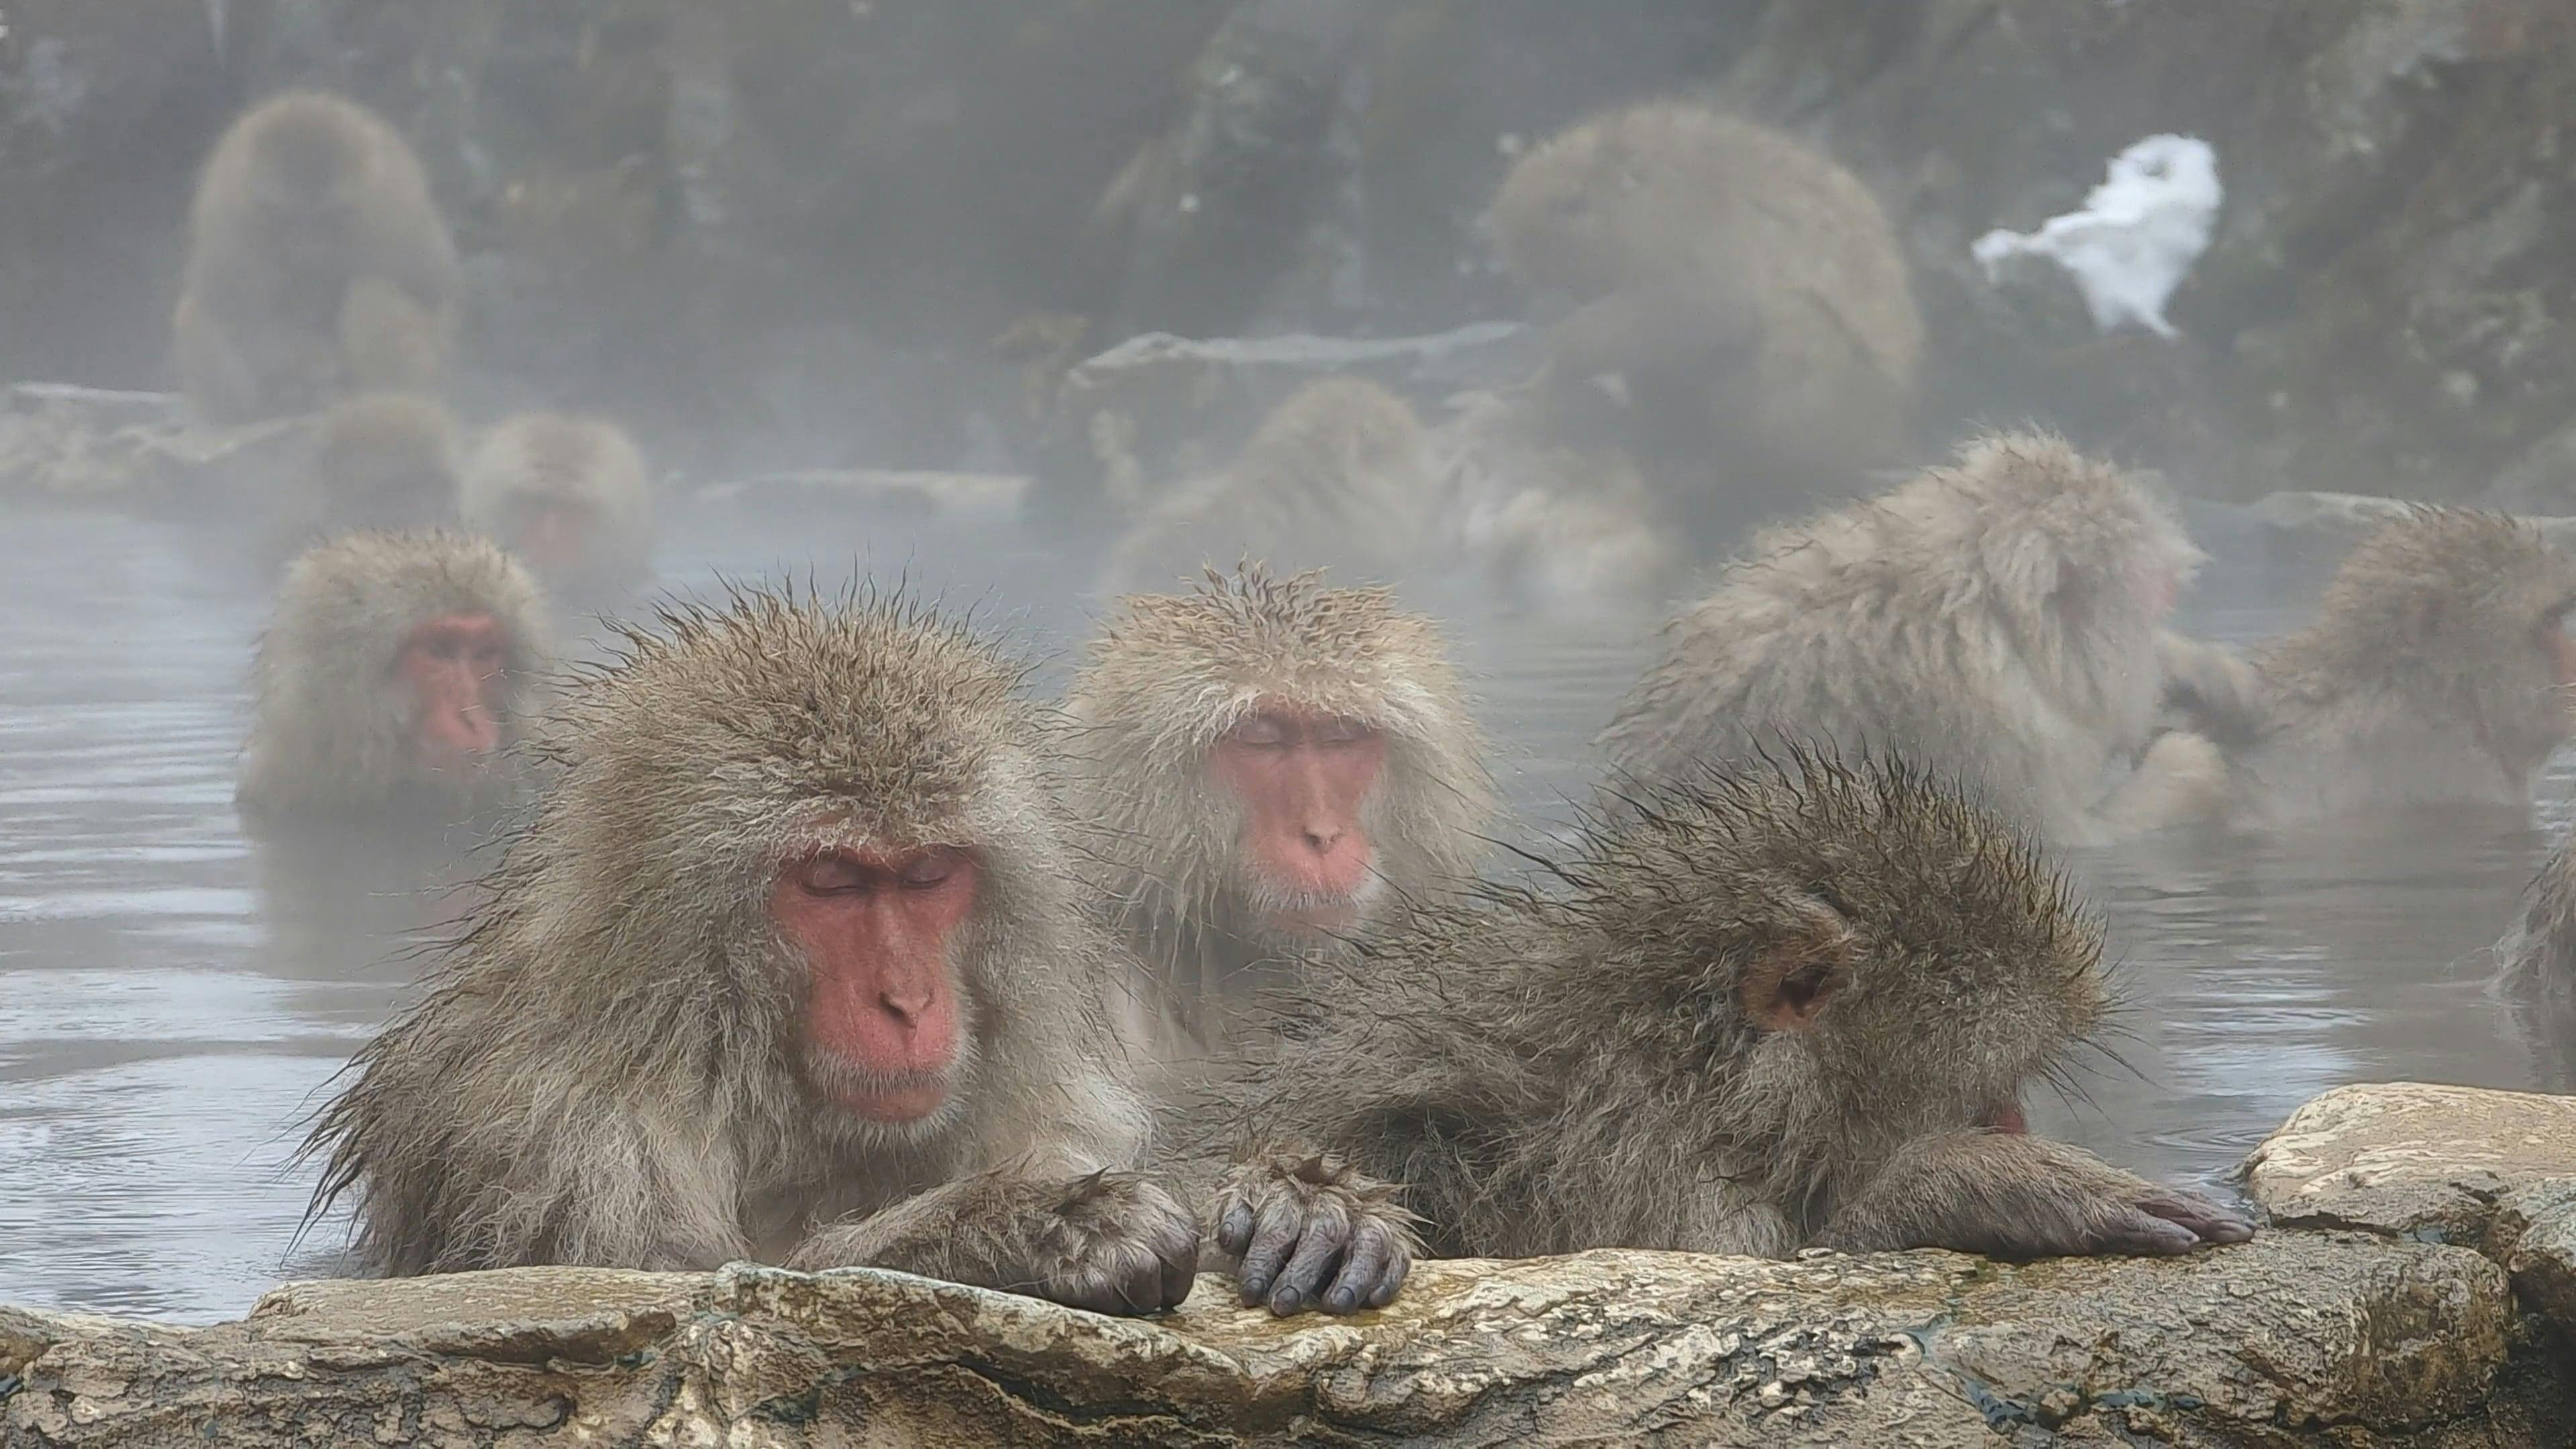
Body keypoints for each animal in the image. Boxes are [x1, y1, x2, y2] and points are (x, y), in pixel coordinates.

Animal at [174, 92, 462, 425]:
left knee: (370, 291)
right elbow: (227, 303)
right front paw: (306, 363)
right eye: (287, 219)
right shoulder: (226, 215)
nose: (307, 249)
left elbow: (431, 285)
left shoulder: (396, 204)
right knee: (193, 313)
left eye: (326, 218)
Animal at [303, 588, 1201, 1314]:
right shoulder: (558, 1143)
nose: (907, 1000)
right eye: (833, 880)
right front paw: (1038, 1226)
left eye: (927, 874)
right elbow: (677, 1280)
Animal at [1485, 101, 1922, 542]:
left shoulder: (1675, 223)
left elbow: (1709, 308)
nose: (1580, 295)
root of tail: (1887, 434)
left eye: (1572, 277)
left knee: (1791, 329)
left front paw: (1559, 360)